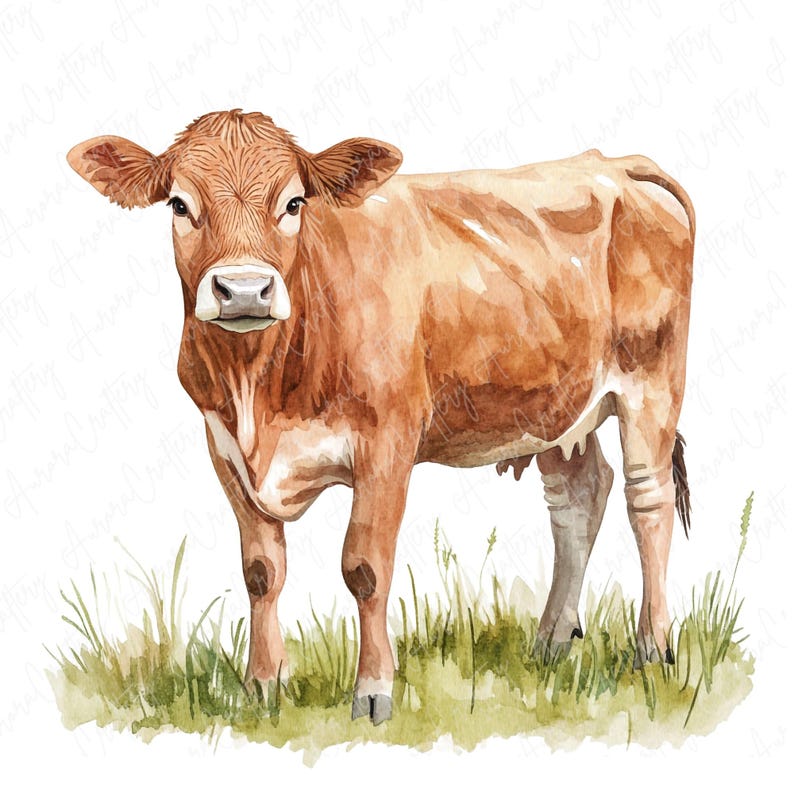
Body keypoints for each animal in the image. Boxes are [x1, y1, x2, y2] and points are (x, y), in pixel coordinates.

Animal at [68, 109, 693, 725]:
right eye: (178, 204)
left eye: (293, 202)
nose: (244, 290)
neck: (260, 393)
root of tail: (615, 164)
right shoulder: (223, 448)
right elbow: (261, 571)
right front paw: (263, 687)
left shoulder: (387, 442)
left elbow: (365, 568)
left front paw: (373, 692)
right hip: (557, 410)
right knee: (580, 499)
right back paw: (550, 643)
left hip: (650, 383)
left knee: (648, 499)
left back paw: (653, 649)